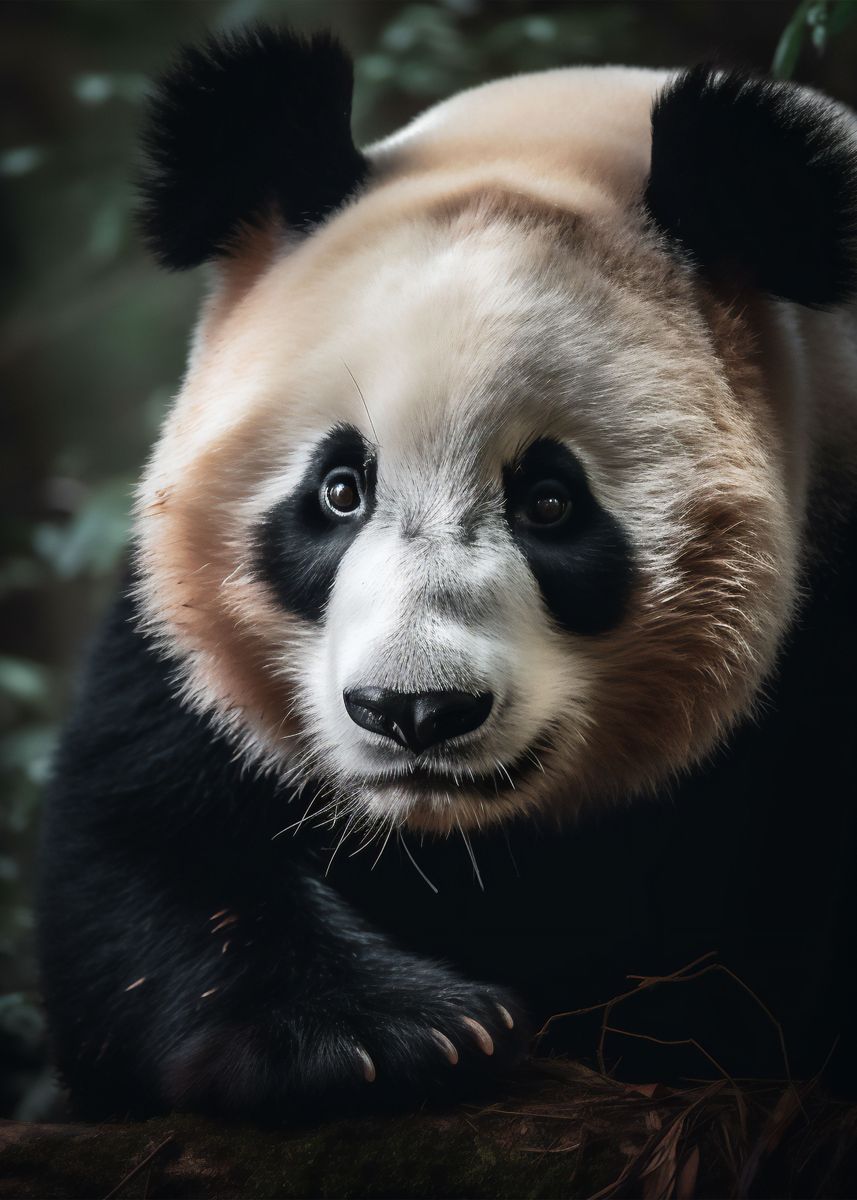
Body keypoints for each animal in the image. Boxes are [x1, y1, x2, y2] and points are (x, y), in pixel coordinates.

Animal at [38, 26, 857, 1121]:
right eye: (340, 490)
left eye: (549, 502)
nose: (414, 712)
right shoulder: (177, 654)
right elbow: (142, 847)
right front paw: (381, 1035)